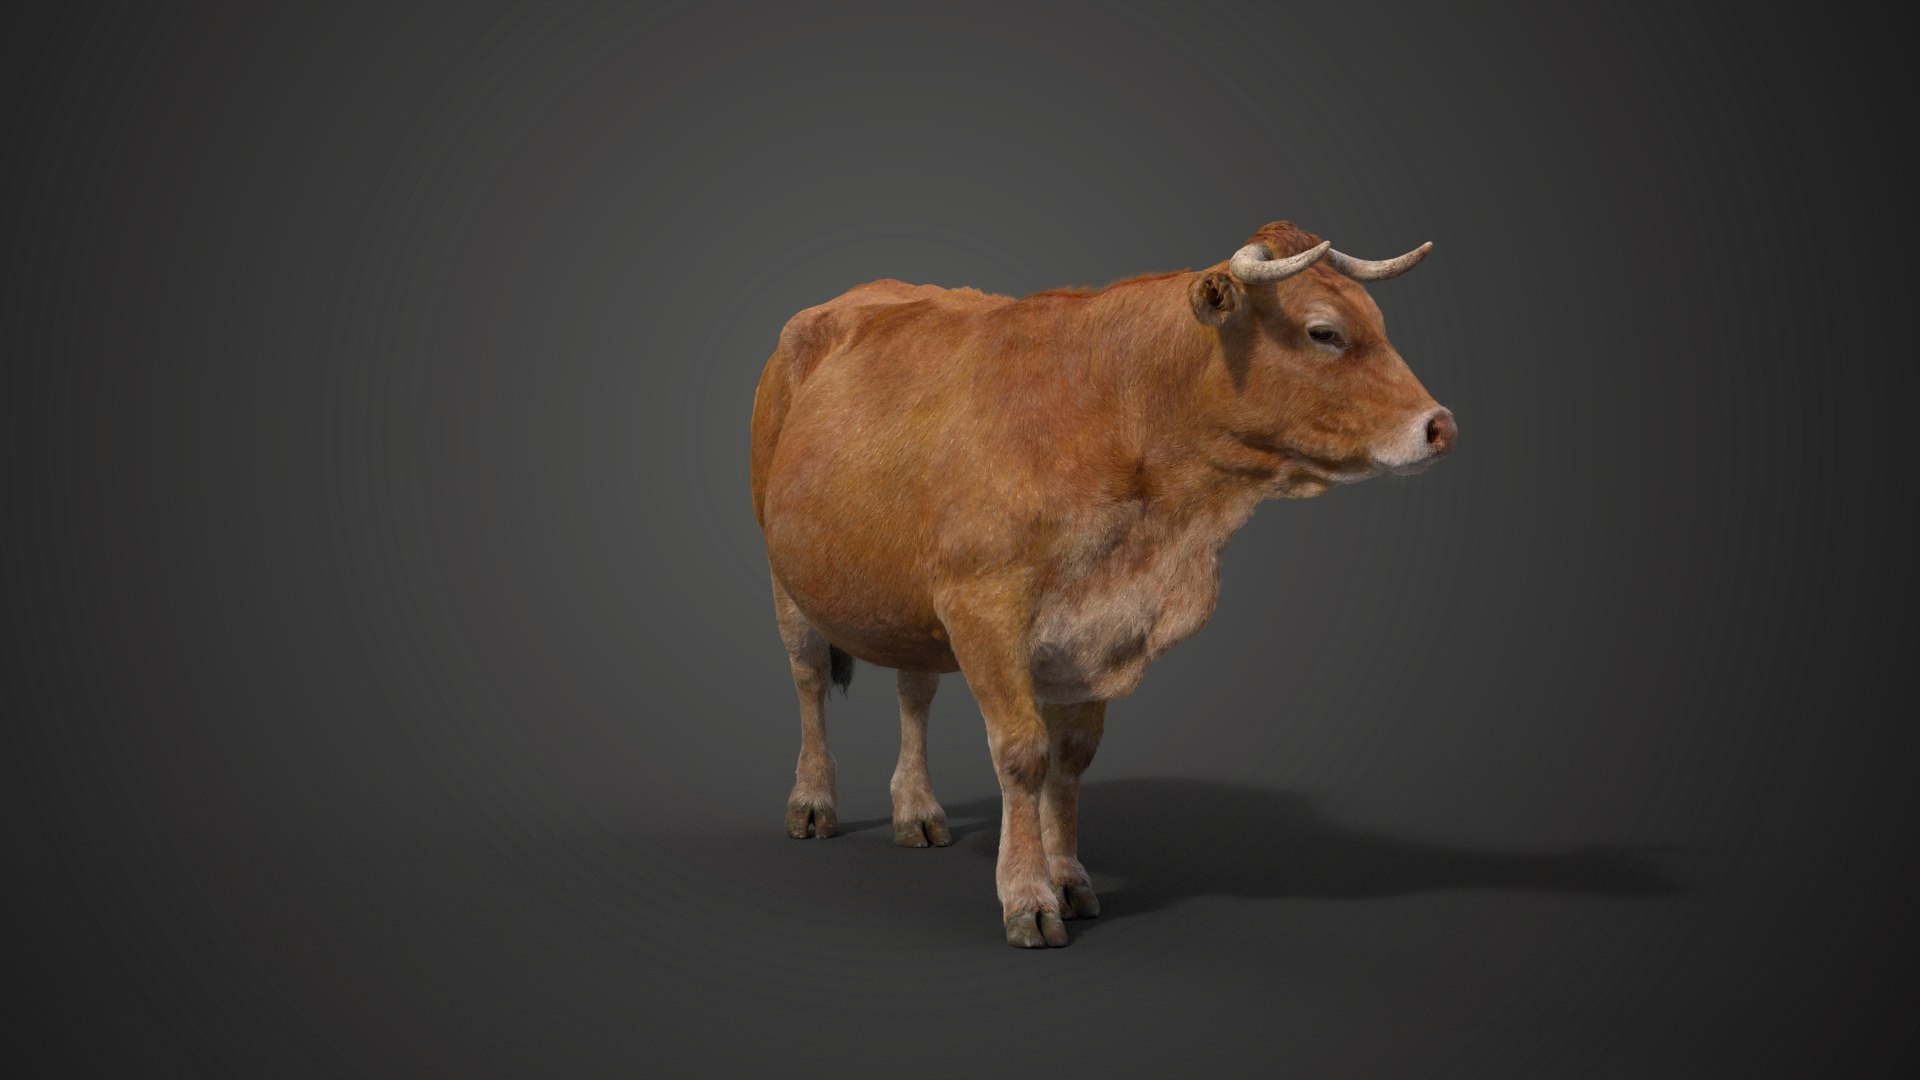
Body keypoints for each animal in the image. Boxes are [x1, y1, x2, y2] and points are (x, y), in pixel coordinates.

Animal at [749, 220, 1455, 948]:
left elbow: (1072, 757)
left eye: (1376, 320)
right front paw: (1027, 896)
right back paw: (812, 803)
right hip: (784, 570)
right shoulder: (982, 606)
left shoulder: (1097, 626)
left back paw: (917, 811)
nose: (1440, 425)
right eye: (1324, 332)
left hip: (905, 598)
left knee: (914, 691)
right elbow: (1023, 752)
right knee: (808, 676)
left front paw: (1068, 879)